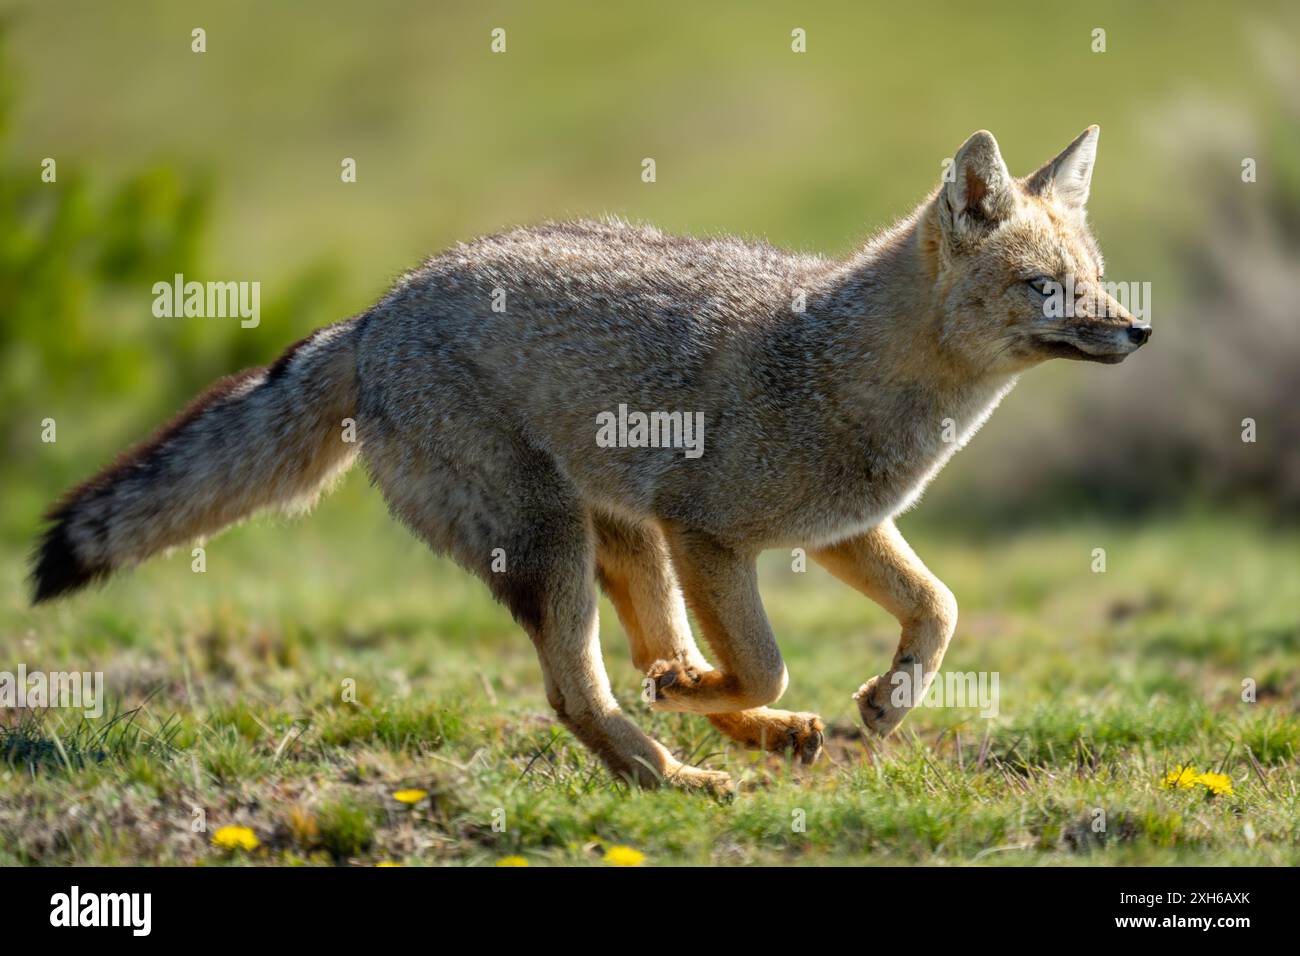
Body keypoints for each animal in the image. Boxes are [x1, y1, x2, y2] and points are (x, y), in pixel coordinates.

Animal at [31, 127, 1148, 795]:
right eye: (1045, 286)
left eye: (1093, 278)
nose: (1138, 329)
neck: (846, 367)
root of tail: (375, 317)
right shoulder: (710, 530)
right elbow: (767, 654)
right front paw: (735, 699)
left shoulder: (841, 528)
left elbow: (939, 607)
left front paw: (887, 699)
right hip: (558, 544)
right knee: (583, 692)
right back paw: (673, 771)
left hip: (621, 539)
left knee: (652, 652)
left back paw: (746, 728)